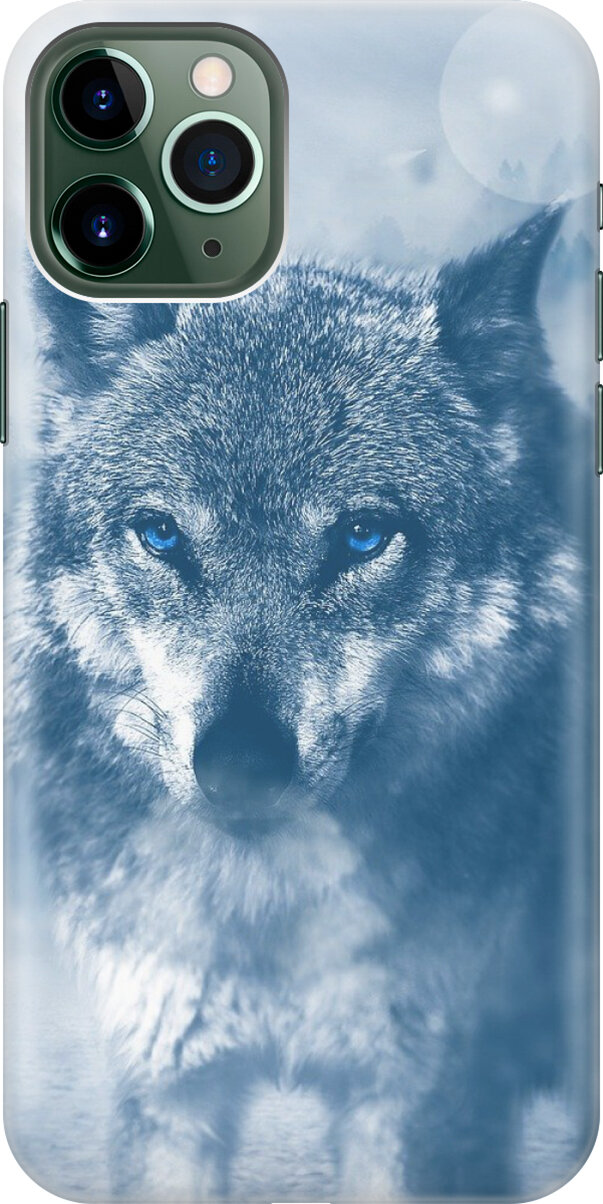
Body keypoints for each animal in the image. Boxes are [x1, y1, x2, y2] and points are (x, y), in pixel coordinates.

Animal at [8, 207, 591, 1200]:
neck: (266, 916)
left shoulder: (422, 1100)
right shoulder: (170, 1086)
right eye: (160, 534)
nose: (240, 766)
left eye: (362, 536)